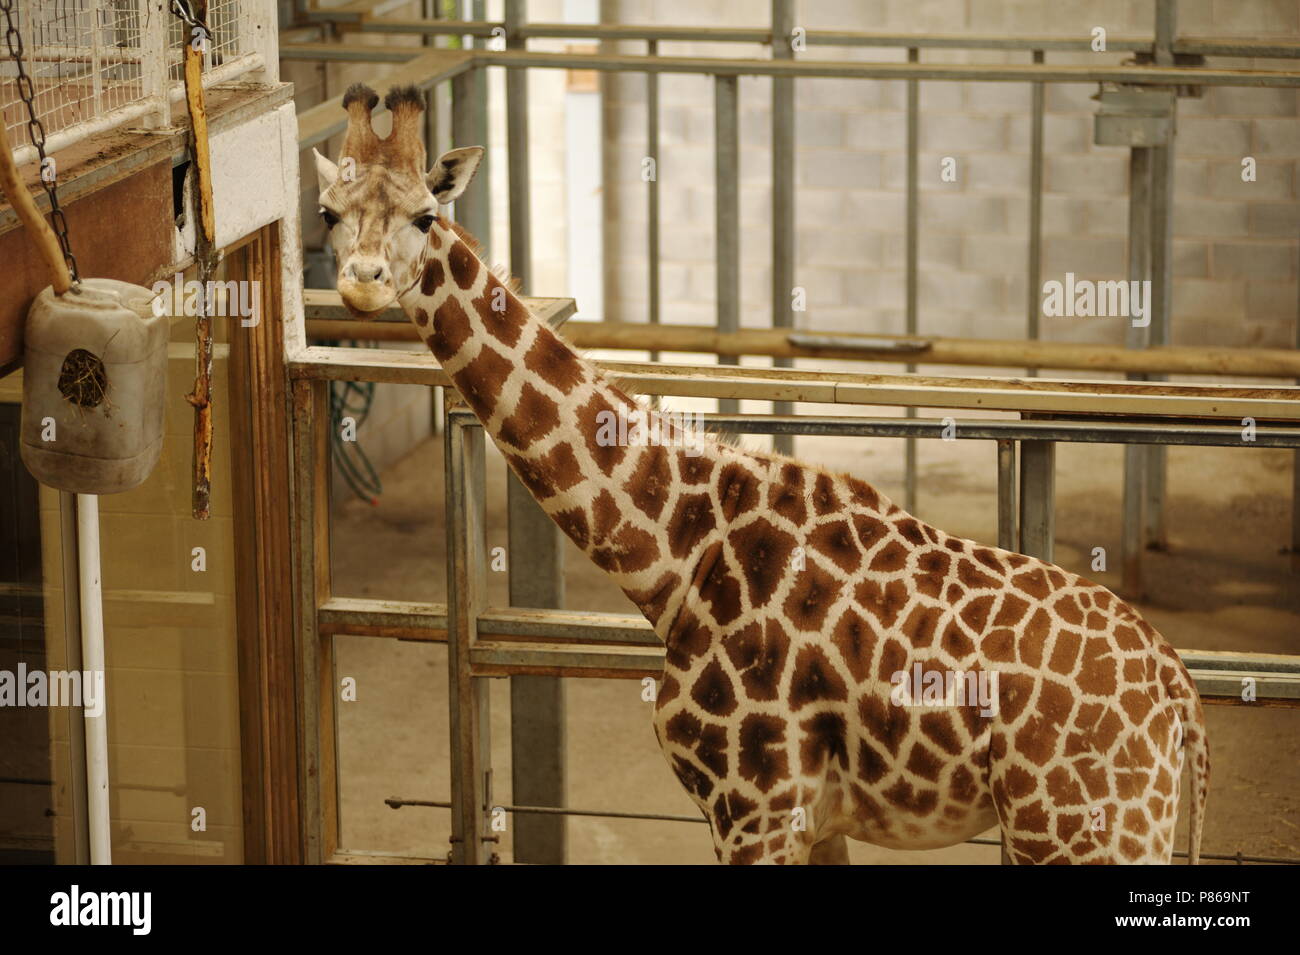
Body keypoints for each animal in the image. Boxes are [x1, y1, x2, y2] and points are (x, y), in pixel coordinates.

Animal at [314, 84, 1209, 865]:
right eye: (326, 213)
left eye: (426, 215)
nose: (360, 284)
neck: (677, 553)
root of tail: (1183, 703)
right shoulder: (811, 817)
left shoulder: (754, 804)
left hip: (1078, 829)